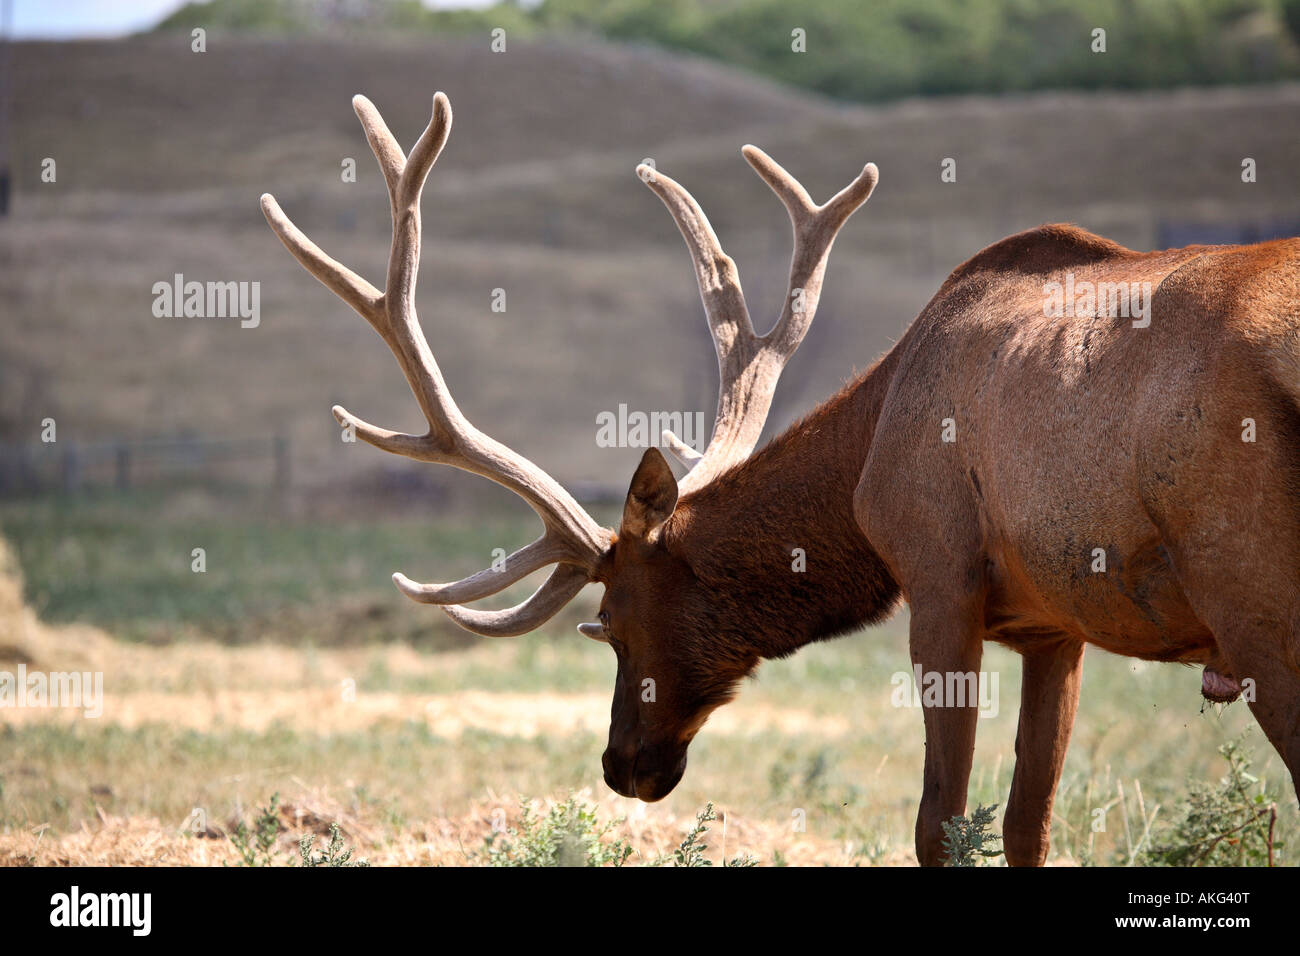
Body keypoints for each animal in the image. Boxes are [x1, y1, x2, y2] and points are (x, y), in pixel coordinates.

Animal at [262, 93, 1300, 866]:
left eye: (611, 624)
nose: (620, 766)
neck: (871, 450)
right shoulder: (1054, 625)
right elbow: (1027, 826)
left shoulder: (940, 576)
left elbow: (938, 825)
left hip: (1252, 590)